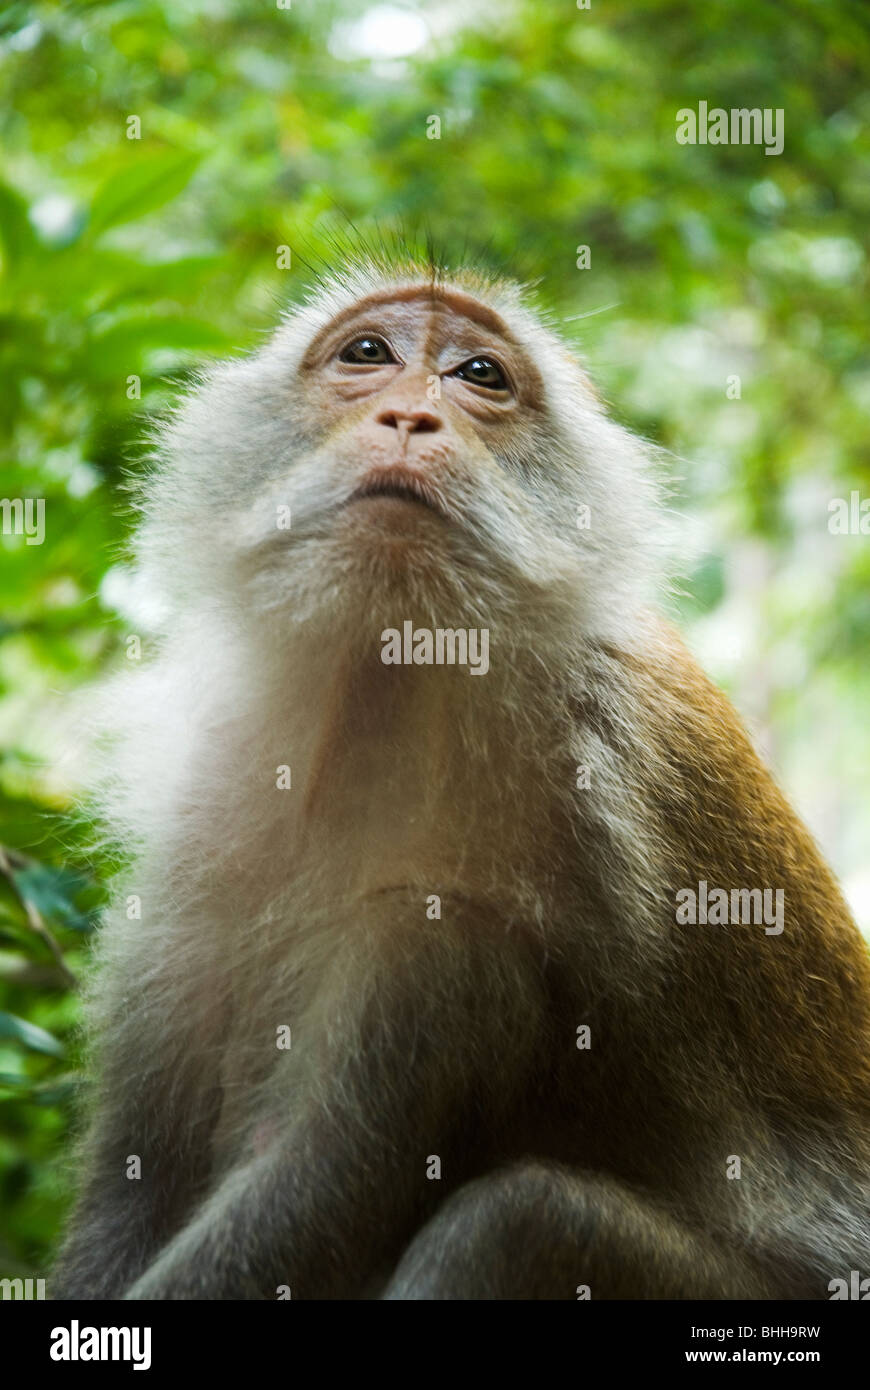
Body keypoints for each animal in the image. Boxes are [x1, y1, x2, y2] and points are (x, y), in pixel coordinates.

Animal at [52, 255, 870, 1301]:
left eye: (480, 375)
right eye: (368, 353)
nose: (411, 417)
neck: (388, 684)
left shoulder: (479, 900)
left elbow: (322, 1184)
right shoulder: (201, 820)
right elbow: (137, 1179)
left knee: (515, 1222)